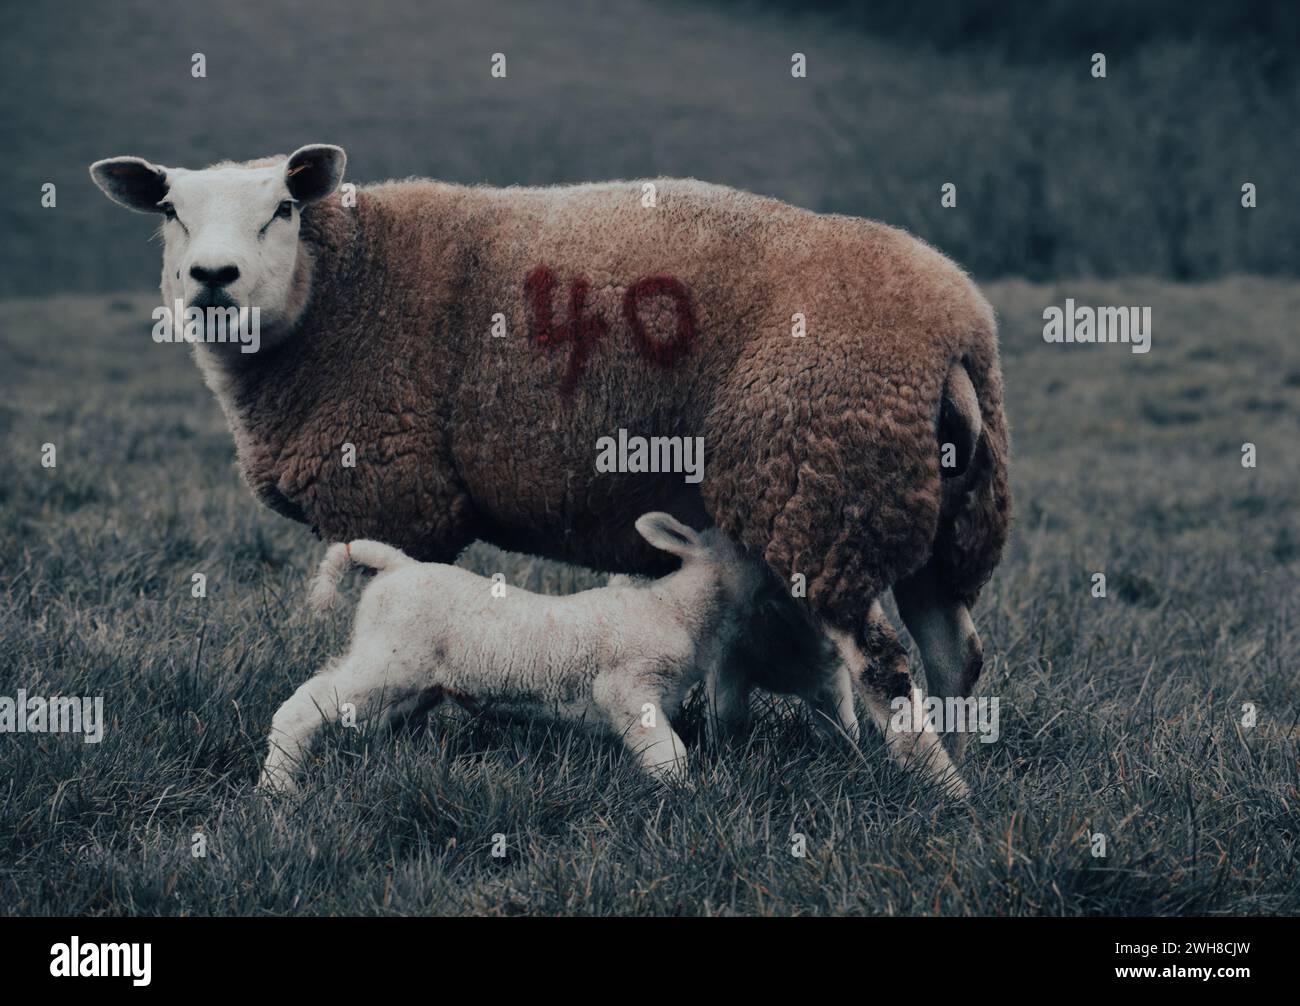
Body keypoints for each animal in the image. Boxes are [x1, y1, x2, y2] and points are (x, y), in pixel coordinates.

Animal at [259, 512, 857, 792]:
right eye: (746, 543)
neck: (677, 608)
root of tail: (396, 565)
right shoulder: (628, 686)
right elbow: (668, 752)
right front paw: (687, 795)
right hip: (388, 656)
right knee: (302, 706)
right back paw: (277, 790)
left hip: (408, 675)